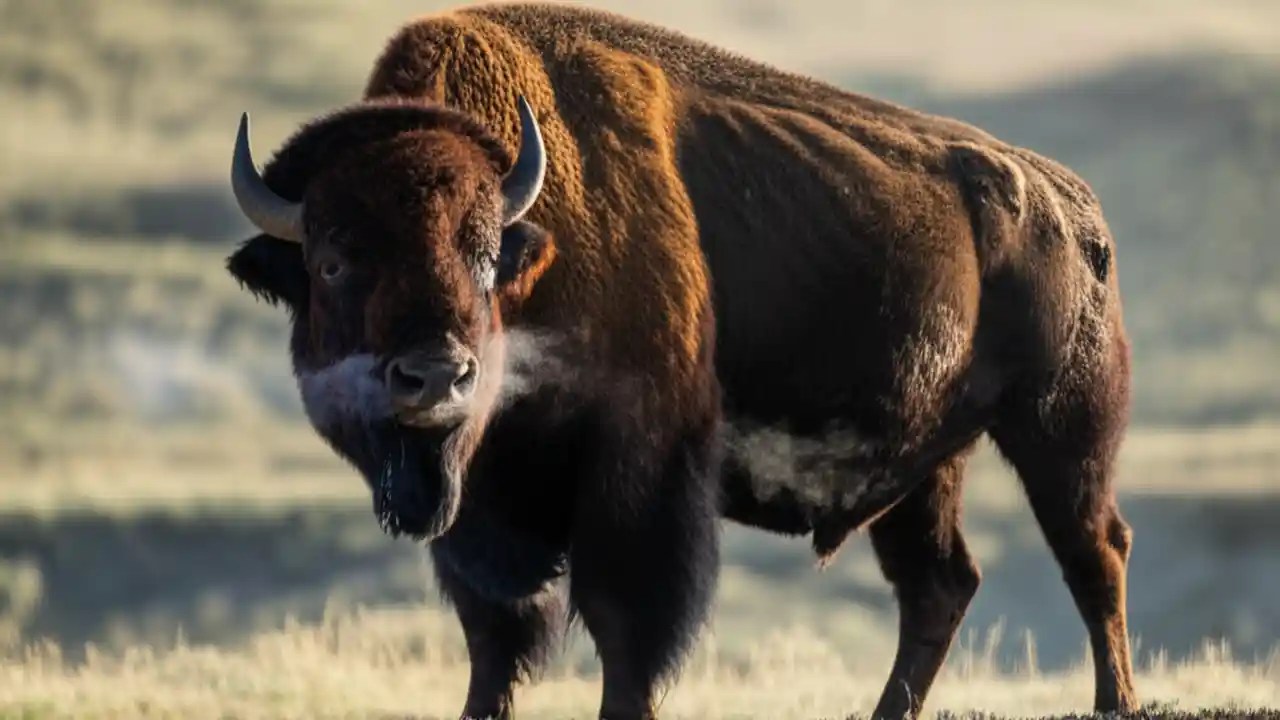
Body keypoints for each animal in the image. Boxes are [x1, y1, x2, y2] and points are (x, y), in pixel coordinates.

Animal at [225, 4, 1138, 719]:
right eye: (332, 260)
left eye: (486, 257)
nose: (435, 378)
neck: (542, 237)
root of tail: (1077, 211)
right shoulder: (484, 505)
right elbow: (496, 639)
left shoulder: (639, 471)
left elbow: (624, 624)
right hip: (928, 469)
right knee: (939, 586)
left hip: (1060, 431)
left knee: (1094, 551)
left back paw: (1114, 701)